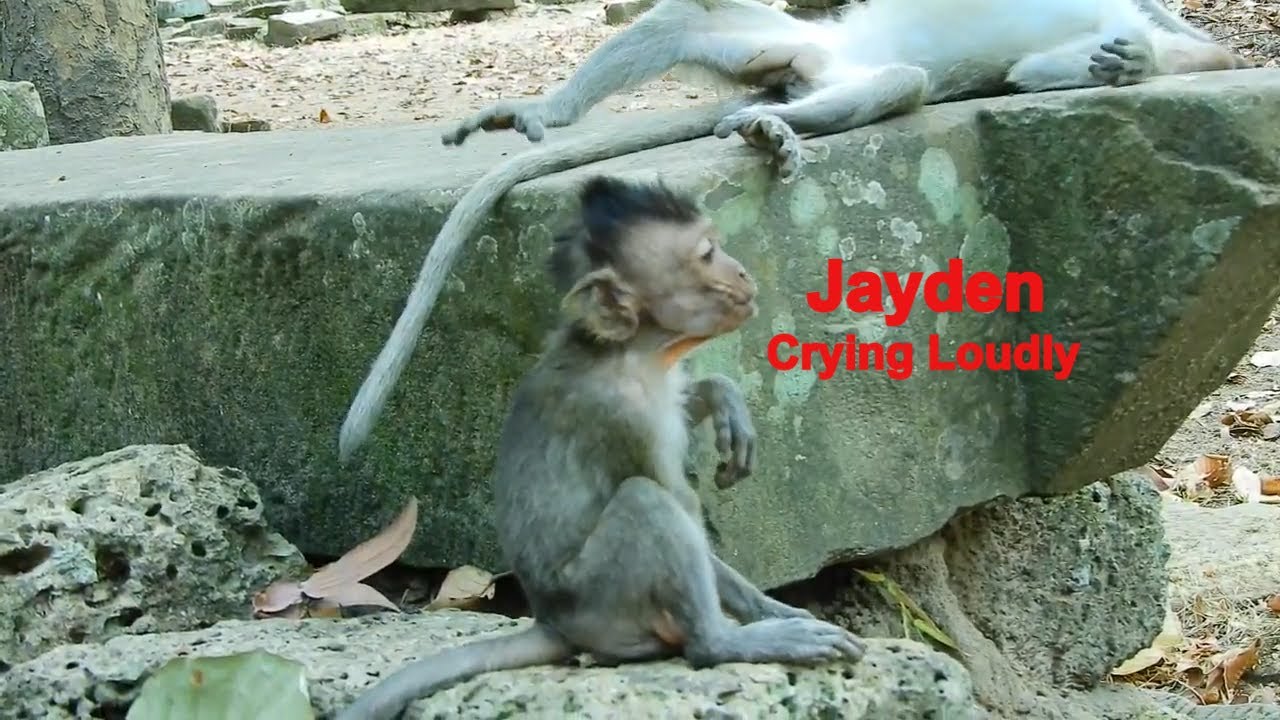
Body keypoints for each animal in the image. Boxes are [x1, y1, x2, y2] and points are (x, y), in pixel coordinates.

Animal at [334, 176, 864, 720]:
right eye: (707, 254)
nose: (739, 269)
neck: (633, 350)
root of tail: (551, 621)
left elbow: (684, 403)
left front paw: (723, 399)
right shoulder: (623, 416)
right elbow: (678, 500)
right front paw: (766, 622)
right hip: (602, 597)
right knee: (646, 502)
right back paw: (718, 642)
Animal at [335, 0, 1250, 463]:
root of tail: (810, 73)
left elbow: (1055, 72)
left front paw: (1134, 64)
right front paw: (1136, 59)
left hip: (824, 64)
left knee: (901, 82)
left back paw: (767, 128)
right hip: (795, 39)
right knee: (686, 20)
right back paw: (548, 113)